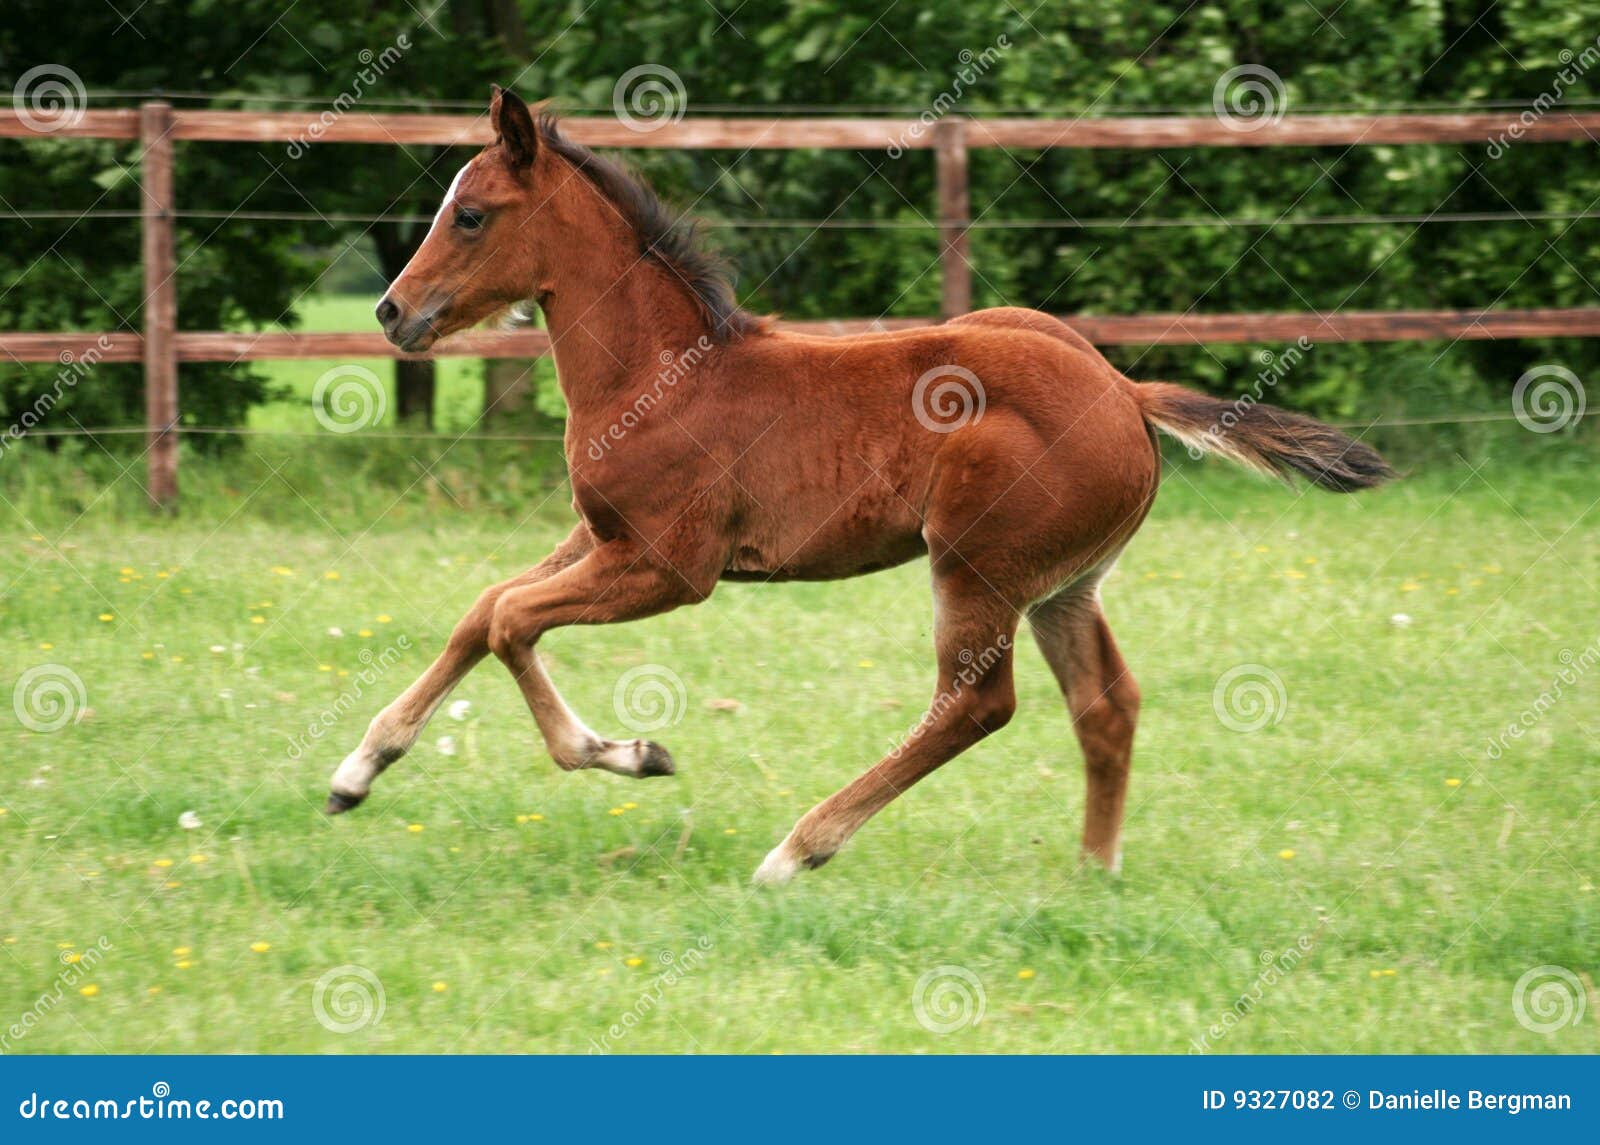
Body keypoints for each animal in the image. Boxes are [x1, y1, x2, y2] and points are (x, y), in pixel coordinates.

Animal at [329, 86, 1394, 884]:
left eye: (471, 214)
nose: (391, 311)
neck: (660, 373)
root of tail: (1122, 389)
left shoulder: (670, 565)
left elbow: (513, 619)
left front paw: (628, 754)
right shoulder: (599, 535)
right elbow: (483, 608)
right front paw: (355, 770)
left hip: (975, 566)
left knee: (978, 705)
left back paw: (798, 850)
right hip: (1065, 585)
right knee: (1106, 704)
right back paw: (1093, 874)